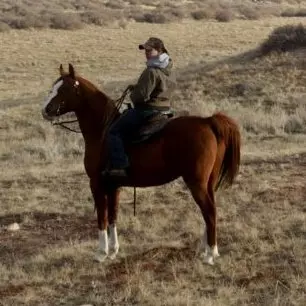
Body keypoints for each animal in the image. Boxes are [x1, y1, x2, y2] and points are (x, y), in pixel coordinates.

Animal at [41, 63, 241, 264]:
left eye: (64, 88)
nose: (45, 110)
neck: (102, 131)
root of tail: (208, 122)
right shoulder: (114, 186)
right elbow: (113, 216)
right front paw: (113, 251)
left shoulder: (97, 184)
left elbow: (102, 217)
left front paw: (101, 253)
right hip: (209, 182)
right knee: (210, 210)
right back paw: (205, 249)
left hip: (196, 183)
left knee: (209, 212)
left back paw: (210, 255)